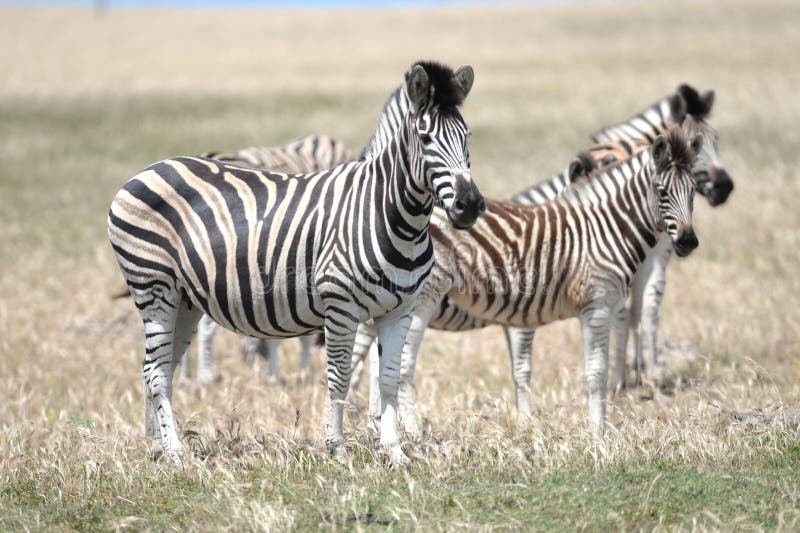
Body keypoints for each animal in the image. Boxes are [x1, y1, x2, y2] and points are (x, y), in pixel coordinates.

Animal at [353, 126, 702, 434]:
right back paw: (411, 431)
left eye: (693, 192)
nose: (687, 242)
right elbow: (592, 373)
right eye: (662, 192)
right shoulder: (592, 305)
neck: (603, 228)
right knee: (401, 365)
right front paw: (597, 432)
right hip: (423, 298)